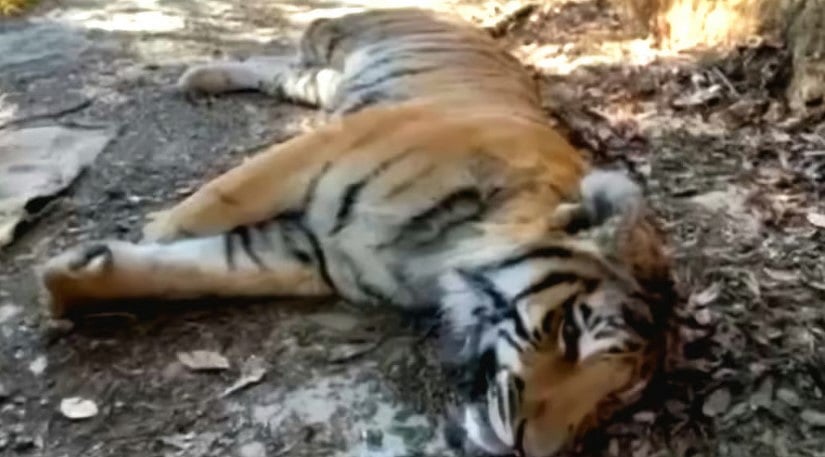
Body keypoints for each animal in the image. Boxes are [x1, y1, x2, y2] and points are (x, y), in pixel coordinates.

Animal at [40, 8, 676, 457]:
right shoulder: (321, 150)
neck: (438, 261)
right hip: (336, 53)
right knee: (295, 48)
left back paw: (201, 75)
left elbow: (192, 272)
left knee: (281, 69)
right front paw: (150, 229)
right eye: (571, 334)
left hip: (320, 83)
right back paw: (197, 74)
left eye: (609, 403)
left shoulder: (308, 255)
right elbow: (217, 200)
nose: (530, 449)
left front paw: (75, 275)